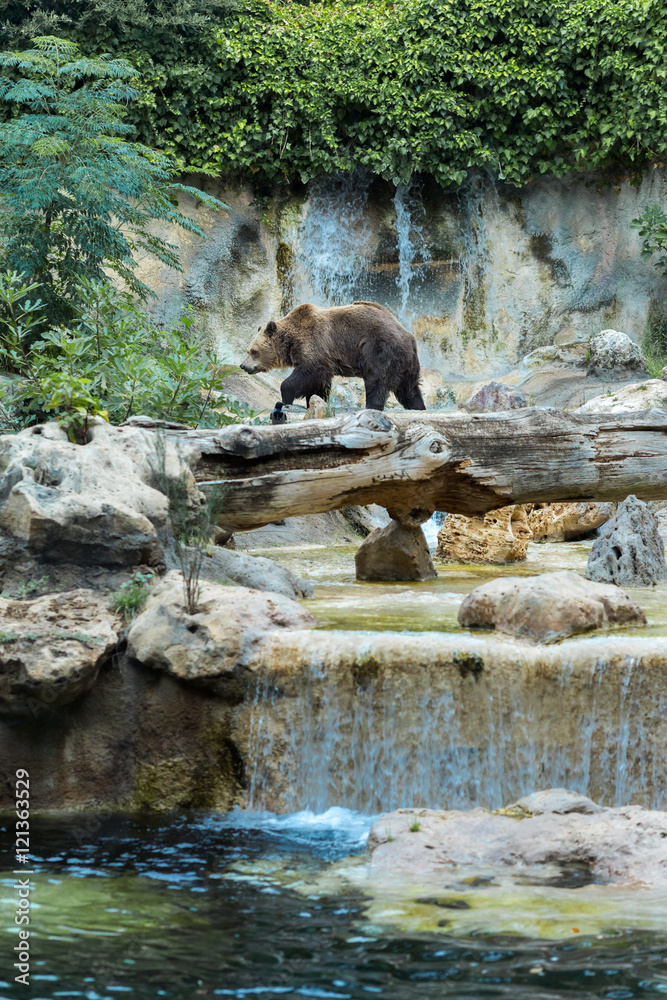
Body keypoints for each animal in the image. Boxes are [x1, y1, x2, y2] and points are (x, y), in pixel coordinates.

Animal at [240, 301, 426, 411]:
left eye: (254, 351)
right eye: (248, 350)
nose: (243, 365)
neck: (292, 342)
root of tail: (409, 336)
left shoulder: (316, 345)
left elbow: (309, 372)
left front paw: (286, 397)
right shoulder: (324, 360)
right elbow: (319, 384)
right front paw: (316, 401)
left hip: (379, 349)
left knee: (377, 380)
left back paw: (372, 406)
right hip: (407, 363)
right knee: (409, 389)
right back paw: (418, 406)